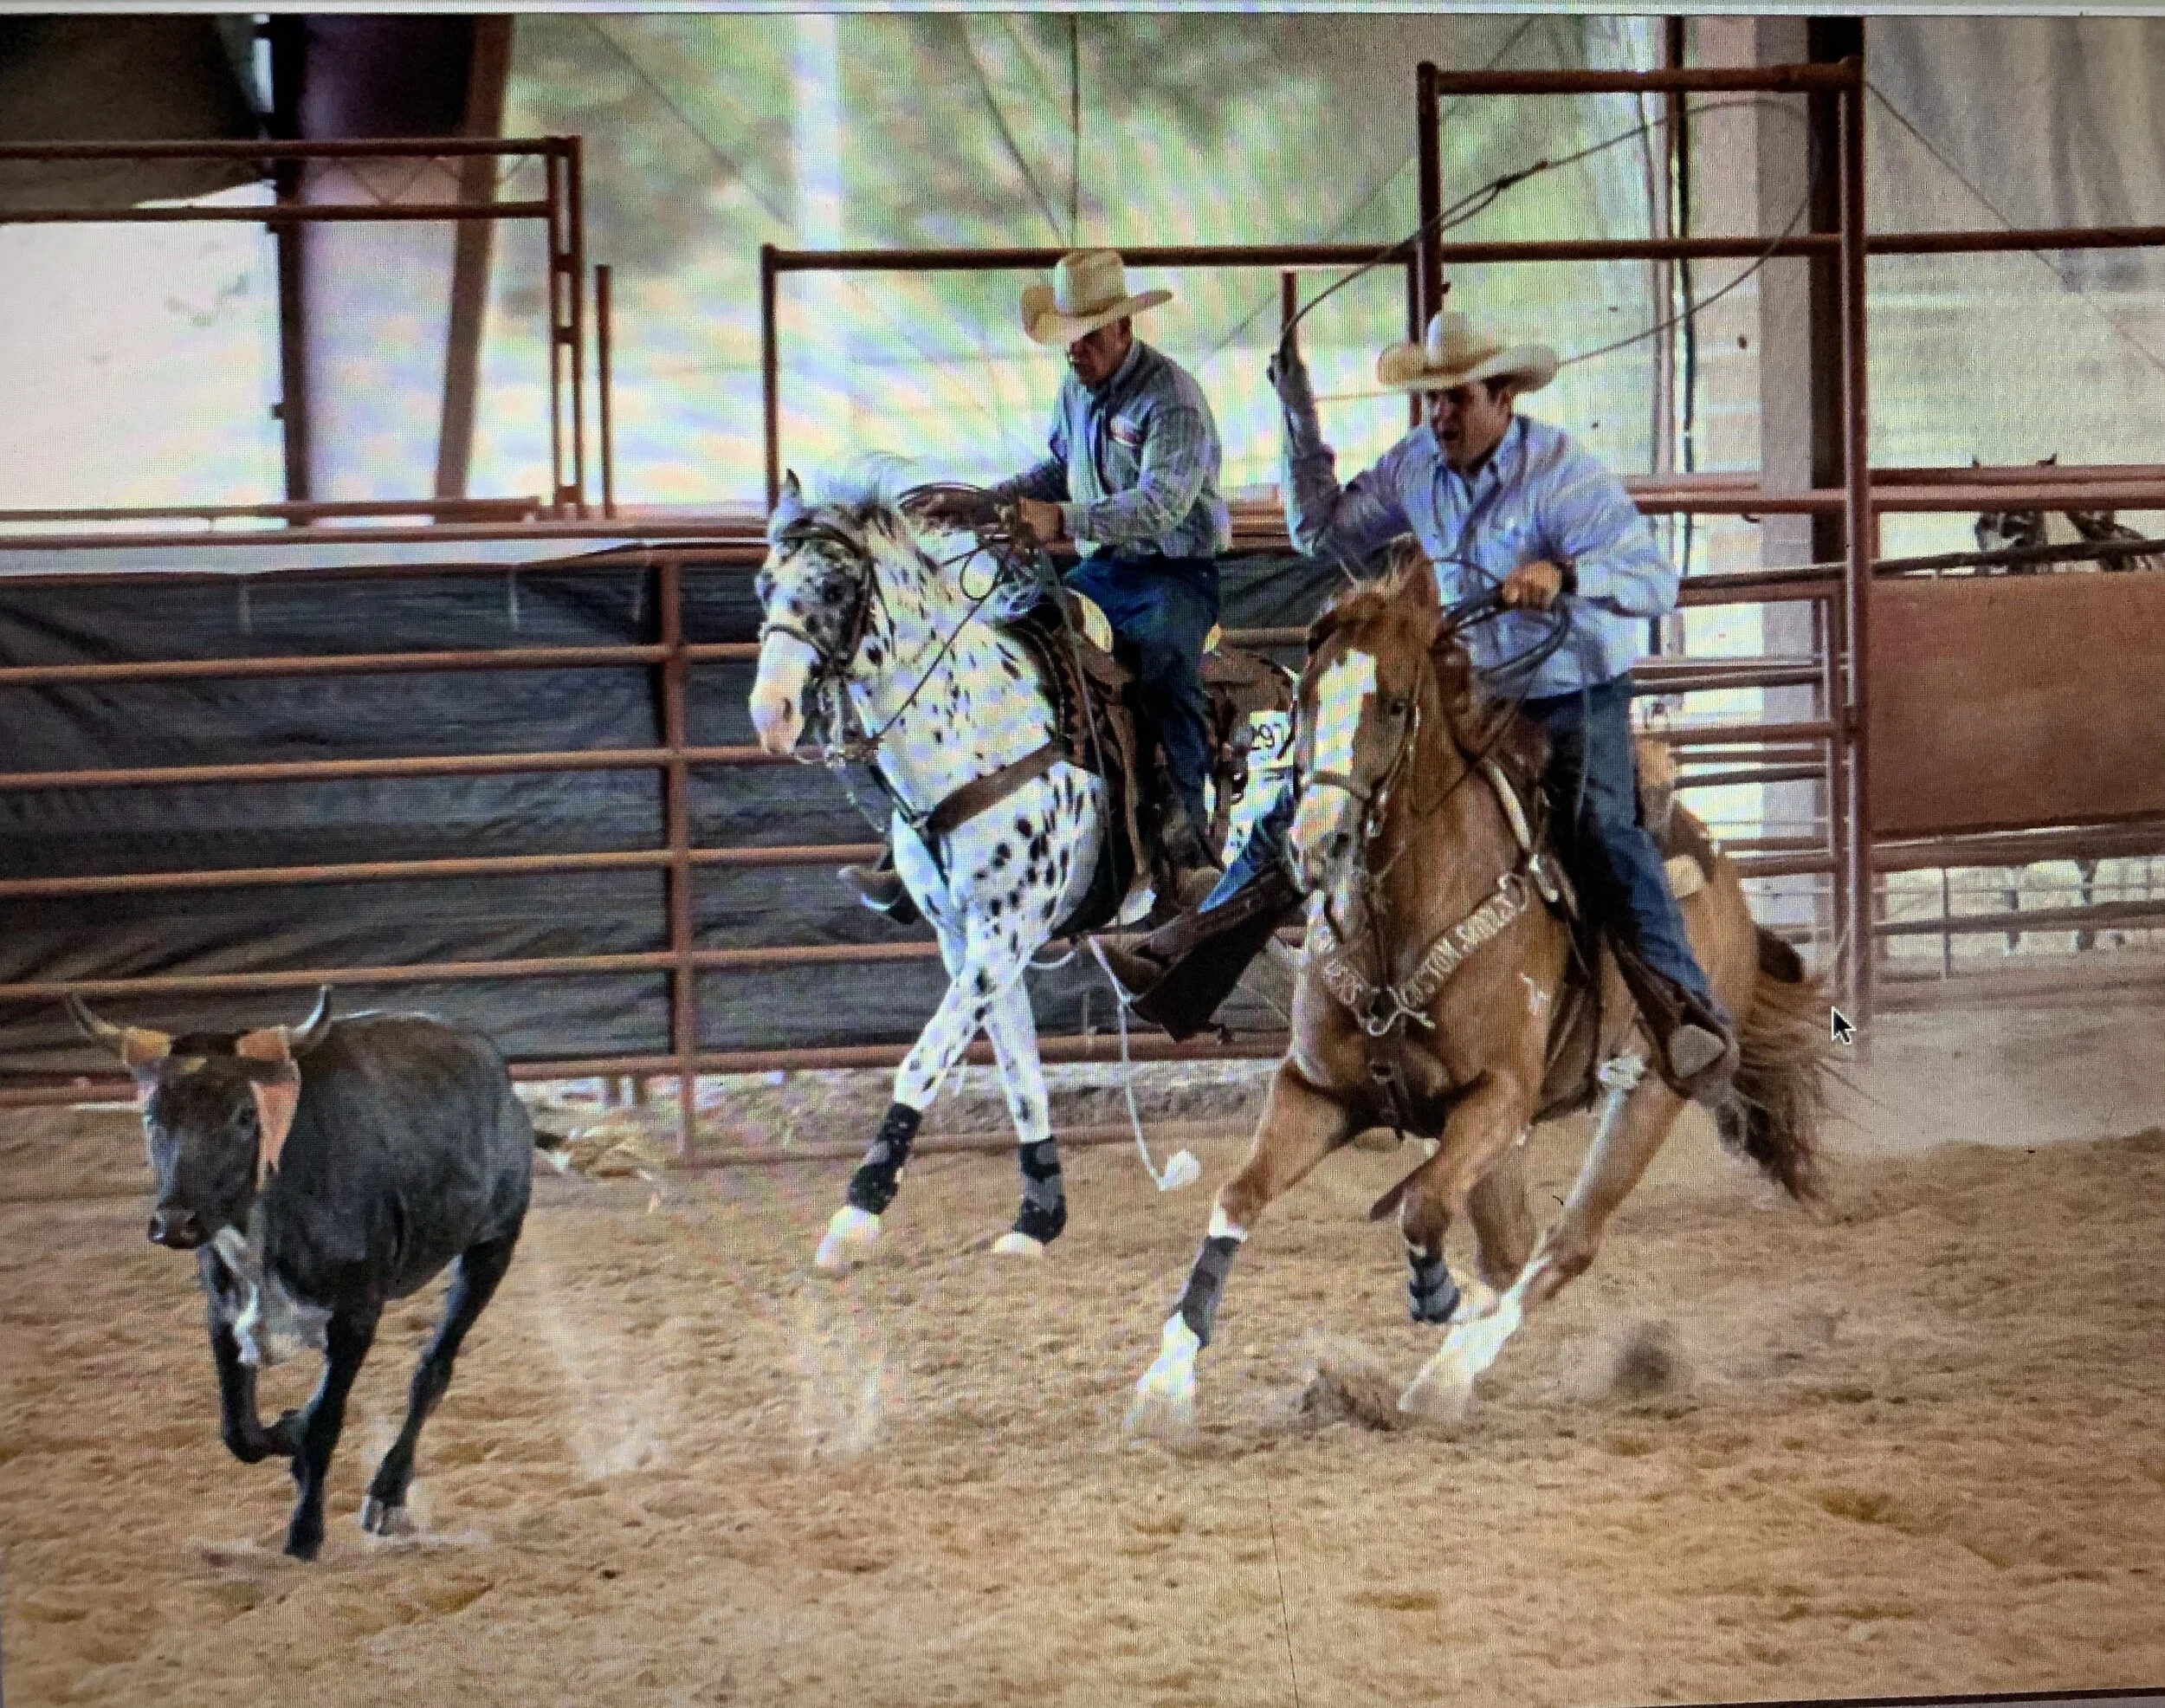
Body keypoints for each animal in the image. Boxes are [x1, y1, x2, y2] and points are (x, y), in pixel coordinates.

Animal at [747, 469, 1287, 1271]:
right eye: (765, 584)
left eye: (838, 587)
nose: (772, 713)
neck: (975, 732)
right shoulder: (968, 939)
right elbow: (1019, 1073)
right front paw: (1038, 1217)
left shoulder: (1005, 934)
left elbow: (923, 1061)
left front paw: (856, 1214)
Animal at [1125, 544, 1839, 1433]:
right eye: (1304, 700)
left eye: (1396, 705)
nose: (1314, 842)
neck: (1397, 929)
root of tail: (1732, 891)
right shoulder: (1317, 1092)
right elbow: (1239, 1196)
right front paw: (1165, 1383)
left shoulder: (1497, 1095)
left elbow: (1423, 1208)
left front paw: (1438, 1296)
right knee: (1512, 1246)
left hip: (1647, 1096)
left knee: (1565, 1243)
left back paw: (1447, 1374)